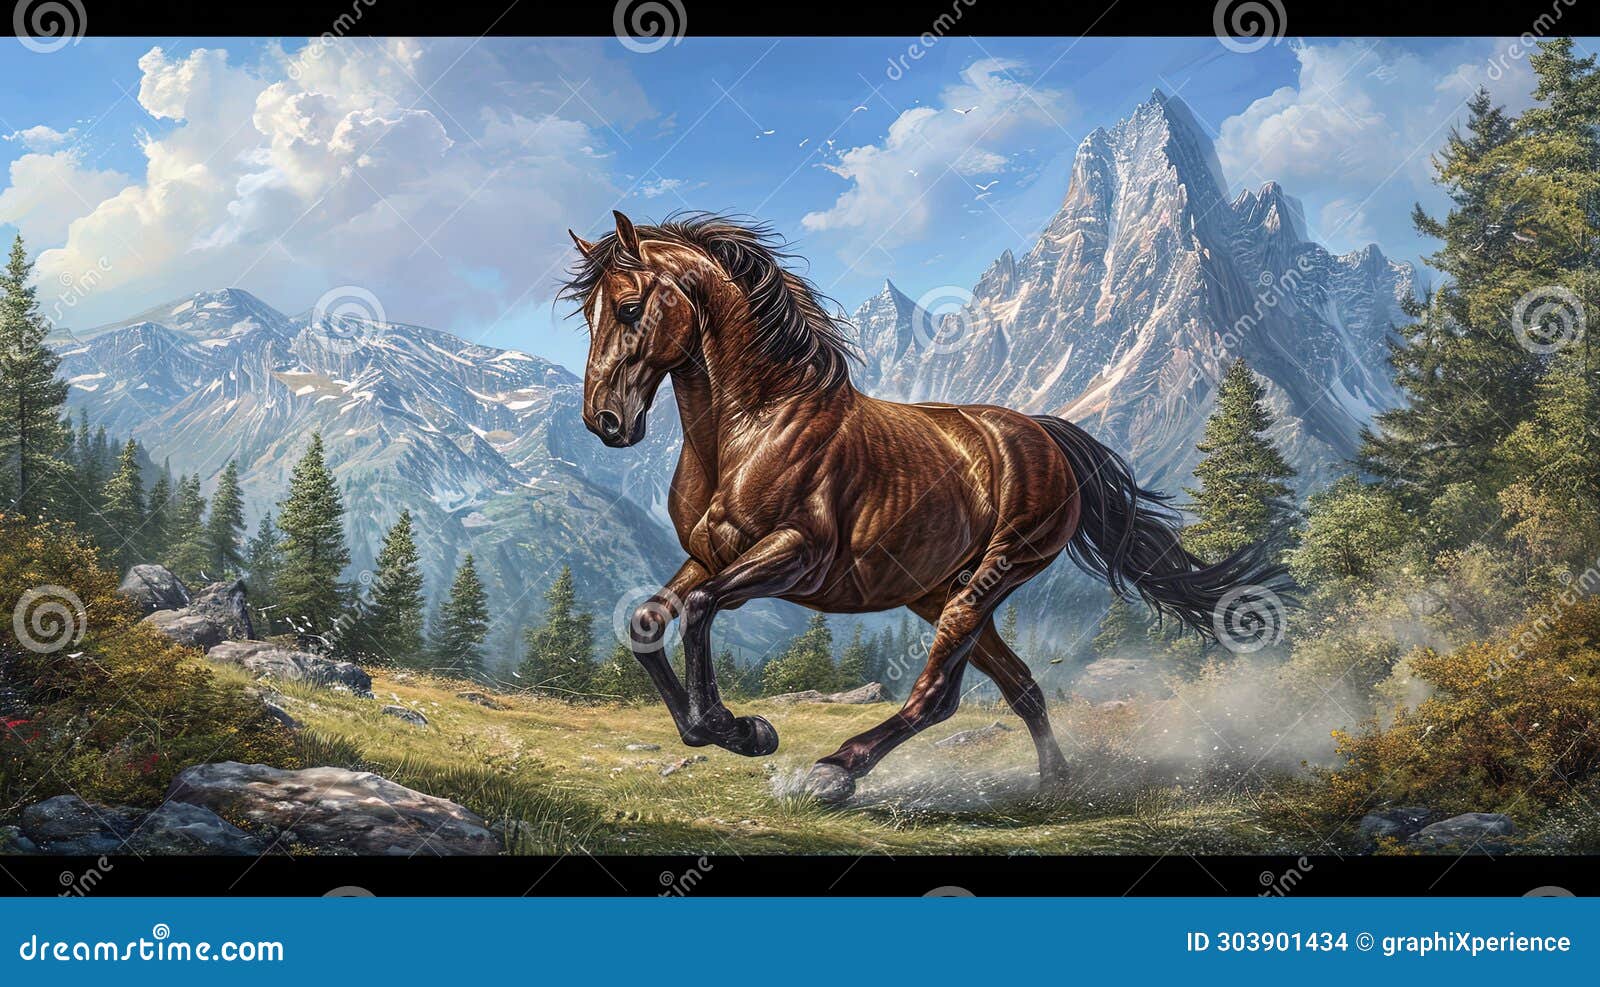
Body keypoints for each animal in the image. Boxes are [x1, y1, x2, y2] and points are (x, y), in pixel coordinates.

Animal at [561, 211, 1287, 804]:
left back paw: (835, 770)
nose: (604, 422)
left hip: (993, 575)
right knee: (1018, 683)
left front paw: (742, 729)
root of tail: (1043, 433)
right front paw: (714, 731)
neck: (752, 426)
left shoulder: (795, 554)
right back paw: (1055, 783)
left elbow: (702, 608)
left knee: (940, 694)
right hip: (936, 590)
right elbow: (648, 620)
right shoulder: (708, 554)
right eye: (590, 316)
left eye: (629, 308)